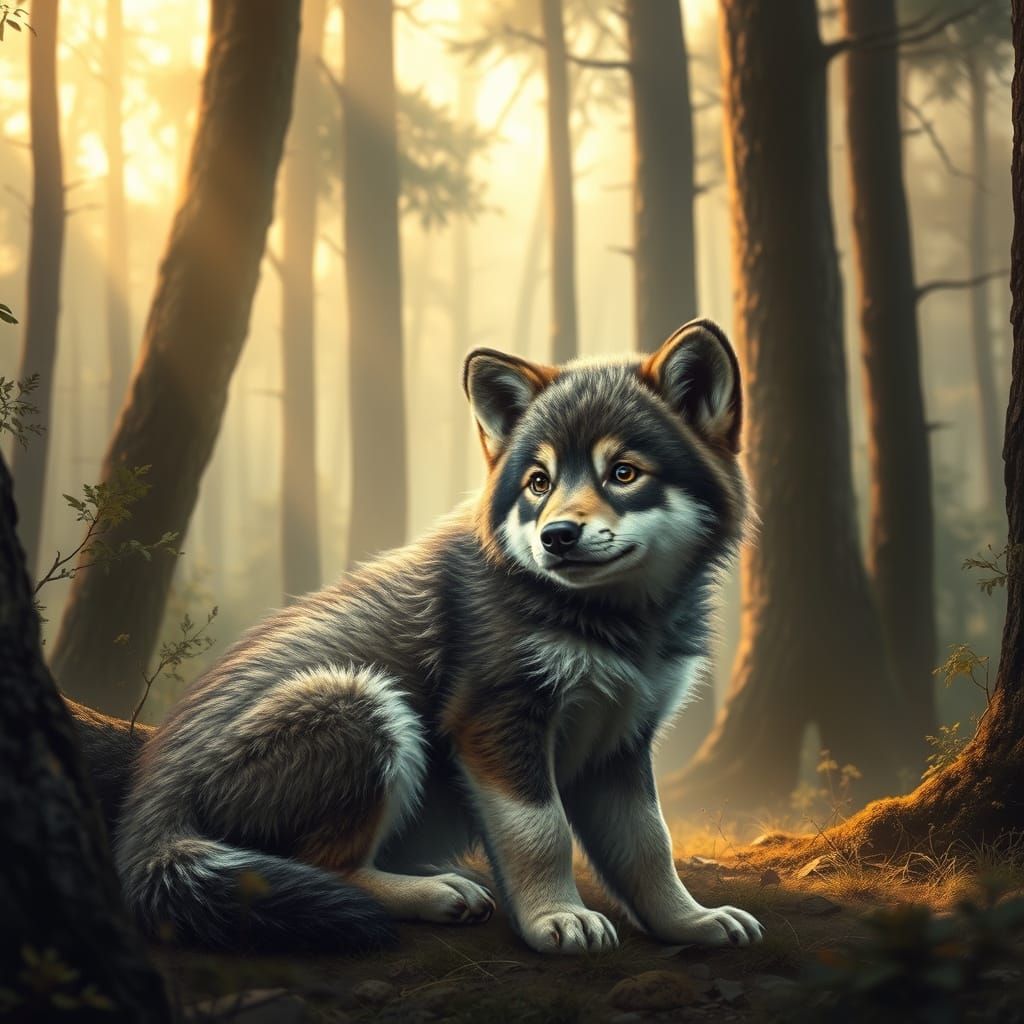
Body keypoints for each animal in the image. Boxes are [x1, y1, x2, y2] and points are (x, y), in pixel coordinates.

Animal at [116, 318, 763, 955]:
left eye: (623, 473)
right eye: (539, 483)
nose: (556, 536)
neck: (615, 624)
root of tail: (151, 810)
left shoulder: (622, 742)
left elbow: (651, 846)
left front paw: (691, 921)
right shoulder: (494, 722)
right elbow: (544, 832)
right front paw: (557, 917)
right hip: (364, 701)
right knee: (317, 866)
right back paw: (434, 891)